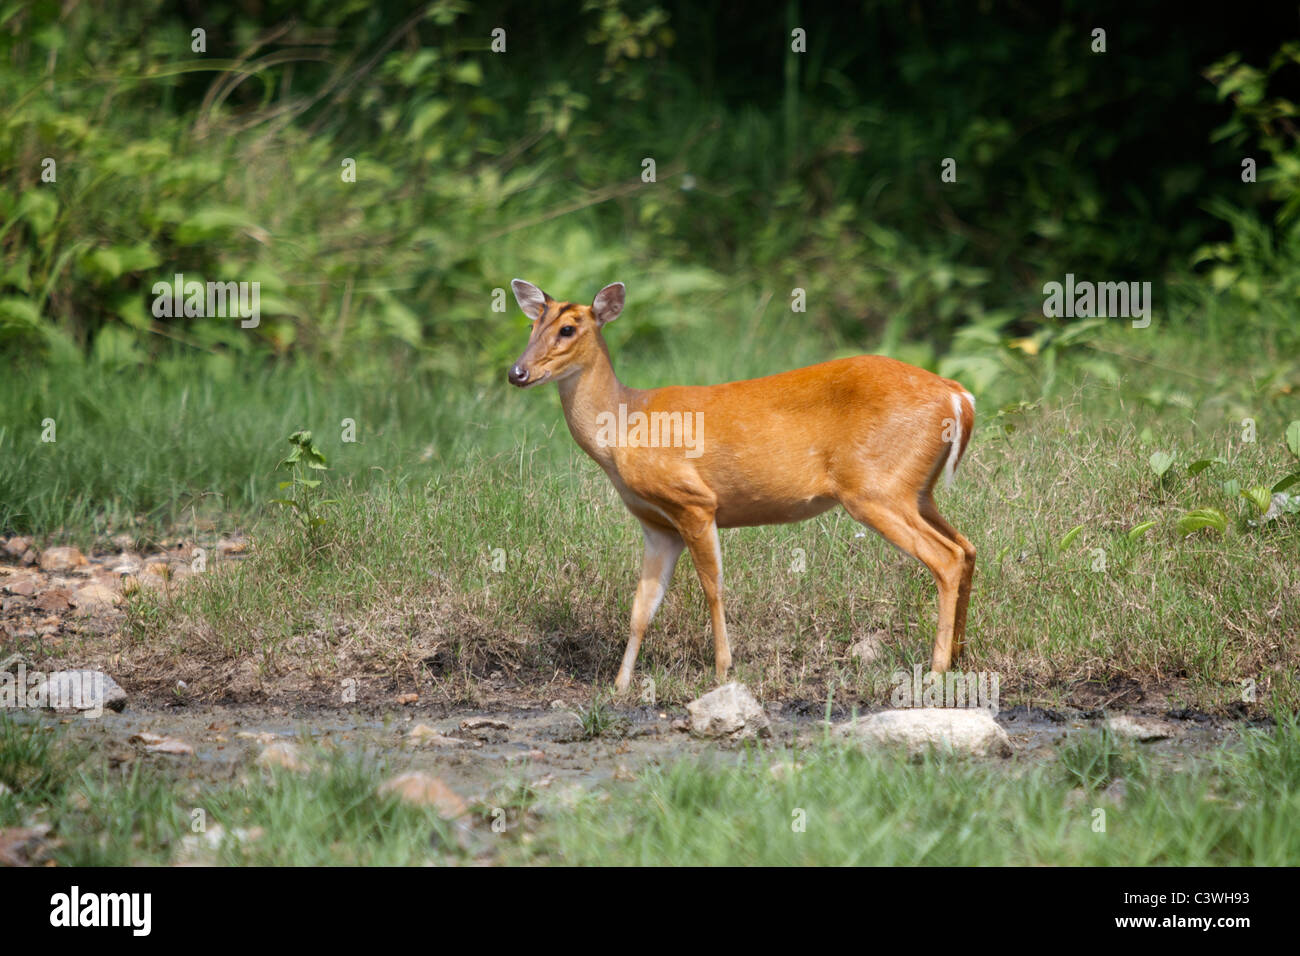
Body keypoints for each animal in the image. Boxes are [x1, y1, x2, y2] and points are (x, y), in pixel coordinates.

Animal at [507, 279, 976, 694]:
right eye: (531, 326)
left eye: (568, 329)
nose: (517, 372)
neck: (624, 425)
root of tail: (958, 395)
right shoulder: (657, 525)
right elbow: (642, 606)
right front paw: (619, 685)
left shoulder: (694, 501)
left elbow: (712, 587)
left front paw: (722, 669)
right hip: (916, 490)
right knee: (967, 548)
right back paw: (958, 658)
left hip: (875, 489)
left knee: (946, 556)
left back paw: (936, 669)